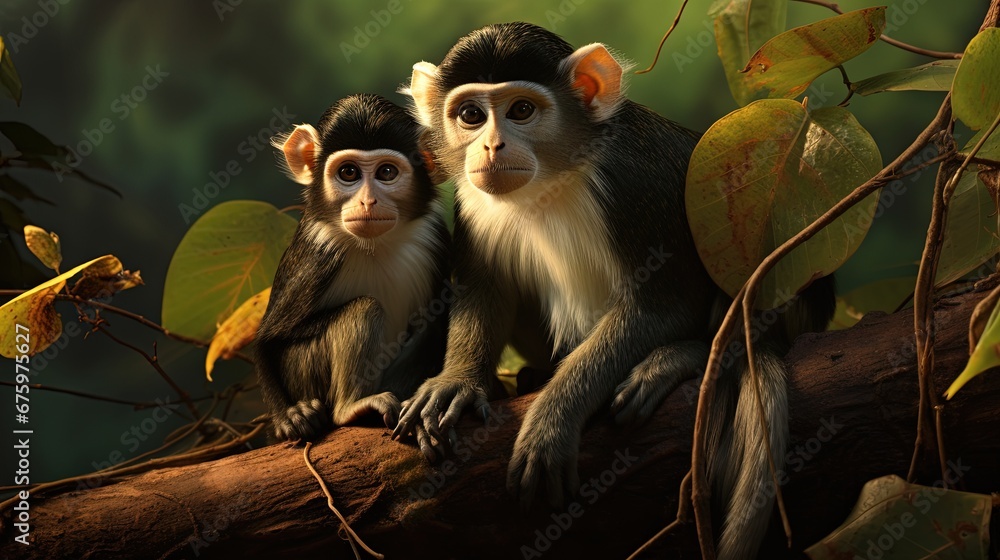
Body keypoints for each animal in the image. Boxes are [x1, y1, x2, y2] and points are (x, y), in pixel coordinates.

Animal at [254, 93, 451, 445]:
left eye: (386, 172)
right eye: (348, 173)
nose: (368, 202)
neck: (375, 246)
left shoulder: (435, 236)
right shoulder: (318, 254)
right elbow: (268, 340)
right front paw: (288, 416)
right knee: (364, 308)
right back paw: (350, 408)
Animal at [392, 23, 834, 559]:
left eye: (521, 111)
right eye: (471, 116)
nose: (492, 147)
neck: (556, 173)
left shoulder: (631, 182)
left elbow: (663, 306)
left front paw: (553, 419)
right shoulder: (473, 198)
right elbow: (484, 291)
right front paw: (457, 382)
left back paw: (688, 357)